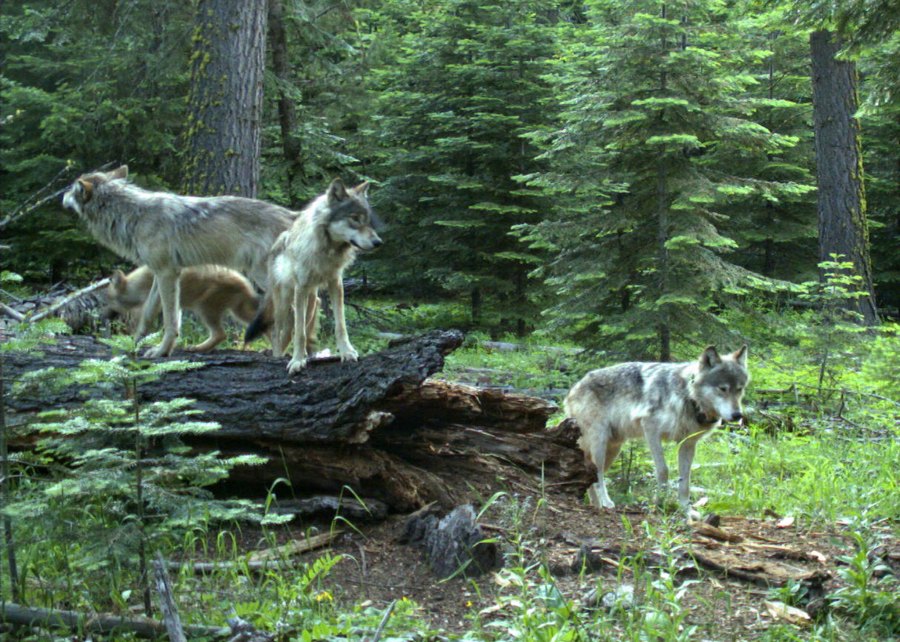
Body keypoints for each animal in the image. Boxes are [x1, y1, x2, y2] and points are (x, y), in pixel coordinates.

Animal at [106, 265, 261, 352]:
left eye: (108, 300)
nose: (105, 316)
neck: (135, 285)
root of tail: (245, 284)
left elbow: (145, 322)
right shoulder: (176, 306)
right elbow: (175, 326)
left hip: (205, 308)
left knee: (220, 334)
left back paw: (198, 347)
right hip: (237, 310)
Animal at [244, 178, 382, 374]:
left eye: (368, 221)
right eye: (354, 218)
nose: (378, 242)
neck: (327, 250)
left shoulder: (336, 283)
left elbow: (340, 326)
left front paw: (347, 352)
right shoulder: (300, 288)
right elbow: (299, 333)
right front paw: (296, 361)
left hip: (311, 303)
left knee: (293, 331)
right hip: (284, 301)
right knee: (278, 332)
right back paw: (278, 356)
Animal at [565, 345, 749, 517]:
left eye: (739, 389)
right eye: (723, 388)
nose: (737, 415)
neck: (688, 397)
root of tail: (573, 389)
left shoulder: (687, 444)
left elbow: (685, 480)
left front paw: (686, 510)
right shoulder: (651, 430)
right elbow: (663, 470)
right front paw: (660, 503)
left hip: (613, 448)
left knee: (592, 476)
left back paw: (595, 506)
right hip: (600, 444)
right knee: (598, 476)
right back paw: (606, 502)